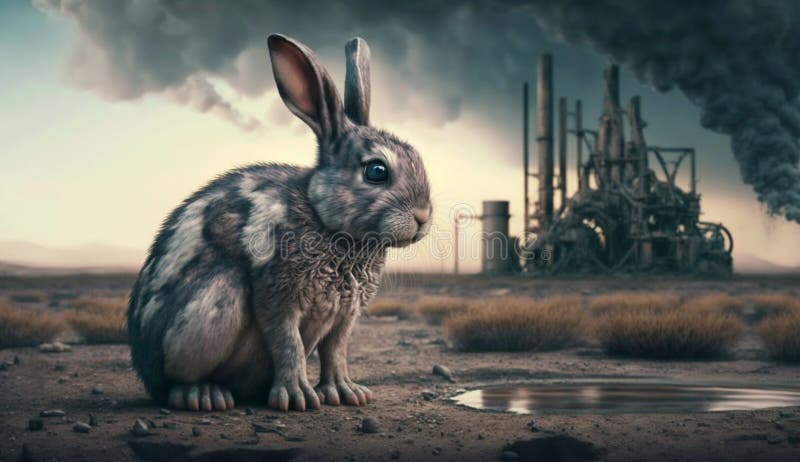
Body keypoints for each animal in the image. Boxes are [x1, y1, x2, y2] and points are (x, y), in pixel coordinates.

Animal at [127, 34, 432, 412]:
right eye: (376, 171)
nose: (423, 217)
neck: (326, 220)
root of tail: (144, 371)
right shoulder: (278, 296)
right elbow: (289, 345)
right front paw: (298, 396)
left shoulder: (345, 315)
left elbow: (336, 351)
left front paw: (346, 392)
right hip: (212, 302)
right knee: (177, 380)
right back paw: (204, 395)